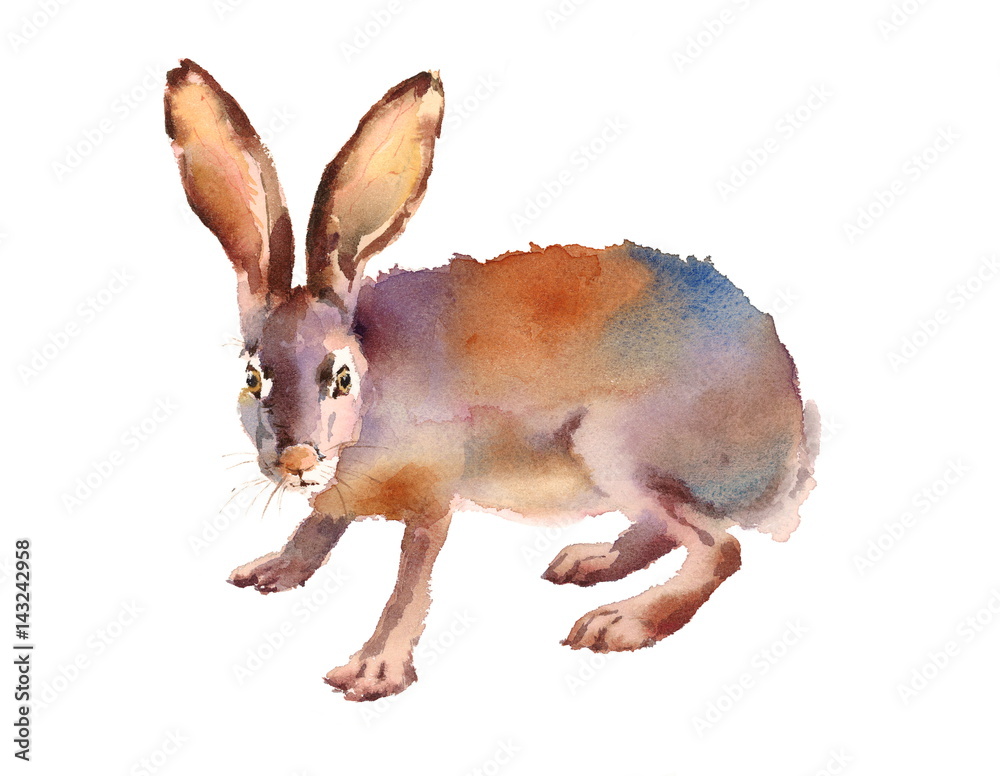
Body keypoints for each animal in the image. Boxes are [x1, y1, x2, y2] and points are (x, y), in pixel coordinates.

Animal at [165, 59, 818, 702]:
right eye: (253, 377)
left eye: (342, 377)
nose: (297, 461)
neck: (371, 398)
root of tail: (788, 435)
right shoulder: (338, 499)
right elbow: (318, 526)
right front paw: (270, 571)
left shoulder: (433, 497)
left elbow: (409, 586)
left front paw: (372, 672)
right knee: (676, 529)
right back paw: (589, 561)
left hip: (613, 445)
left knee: (719, 548)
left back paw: (619, 622)